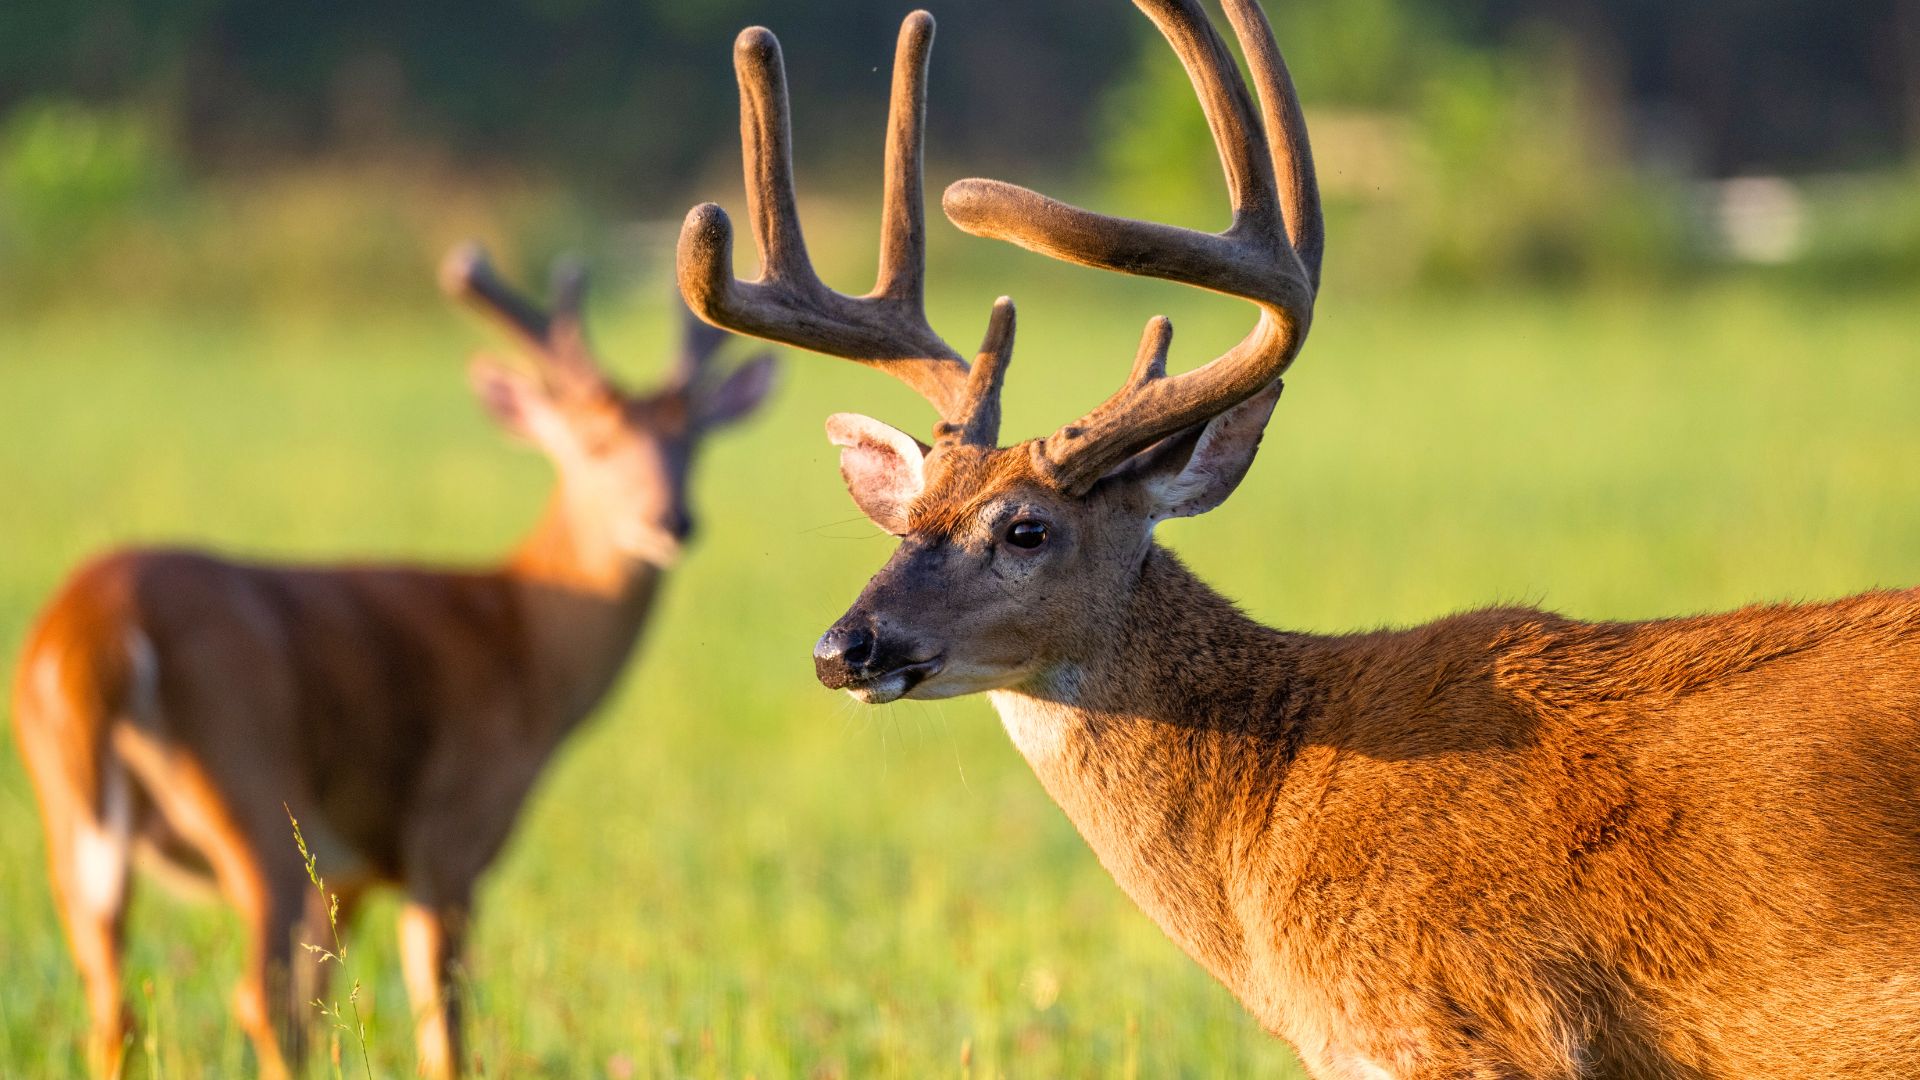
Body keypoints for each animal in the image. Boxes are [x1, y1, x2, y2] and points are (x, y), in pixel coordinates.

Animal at [10, 247, 775, 1079]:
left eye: (693, 440)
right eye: (593, 442)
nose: (672, 520)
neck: (523, 637)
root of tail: (96, 625)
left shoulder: (347, 876)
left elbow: (332, 1006)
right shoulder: (449, 832)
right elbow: (443, 1022)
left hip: (69, 810)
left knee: (115, 1010)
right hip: (250, 785)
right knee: (259, 999)